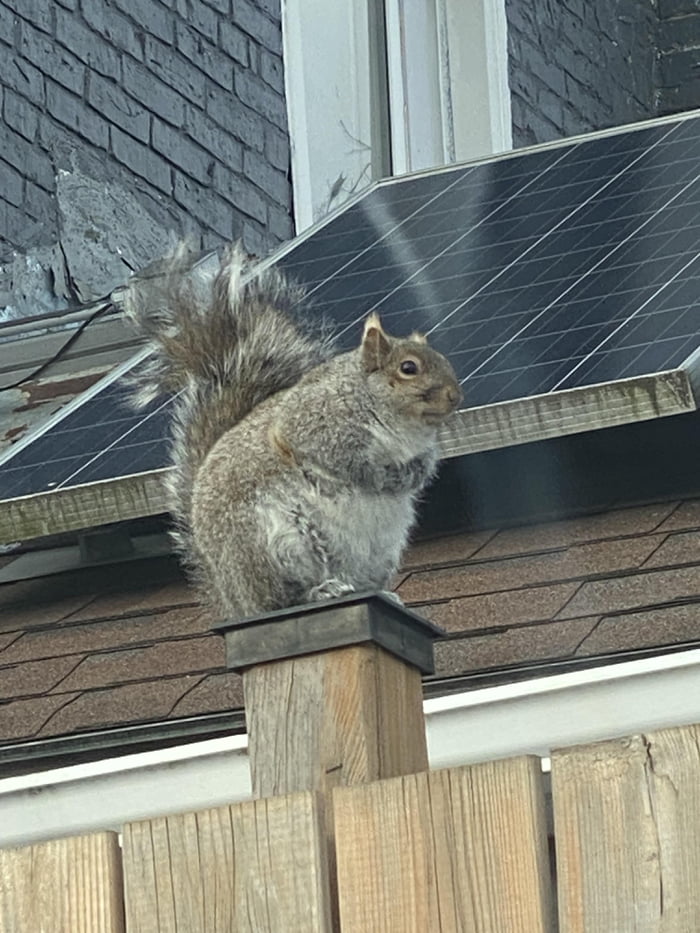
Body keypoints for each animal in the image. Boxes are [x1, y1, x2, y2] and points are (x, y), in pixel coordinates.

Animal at [125, 244, 462, 620]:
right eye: (408, 368)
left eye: (442, 359)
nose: (455, 396)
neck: (404, 428)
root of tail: (234, 600)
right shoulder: (311, 424)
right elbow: (340, 460)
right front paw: (377, 476)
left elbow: (423, 466)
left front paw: (410, 476)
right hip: (275, 549)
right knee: (281, 600)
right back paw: (320, 591)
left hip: (379, 553)